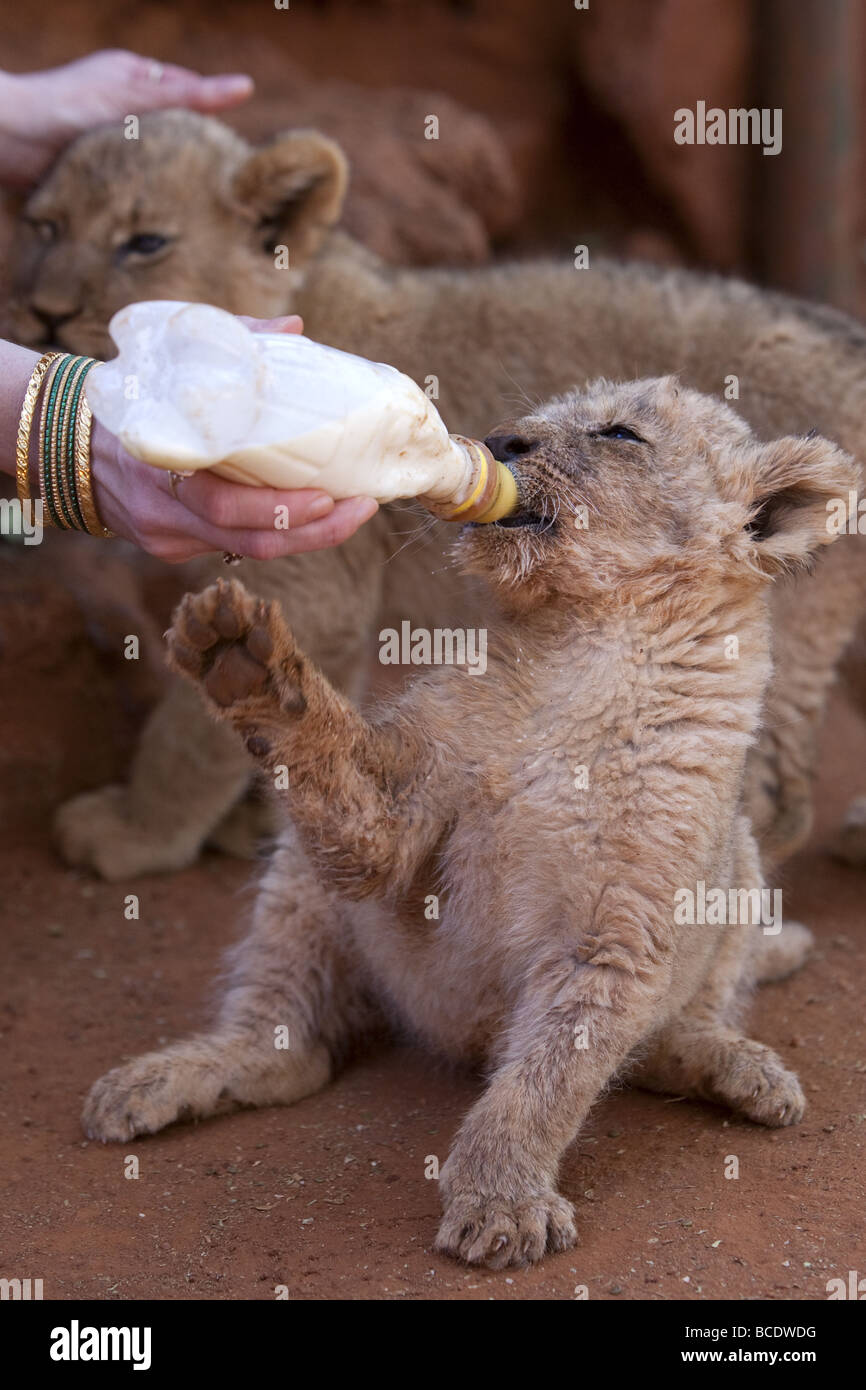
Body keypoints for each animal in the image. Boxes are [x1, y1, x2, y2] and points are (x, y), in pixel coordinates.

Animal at [7, 110, 866, 878]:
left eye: (145, 243)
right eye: (44, 228)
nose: (43, 315)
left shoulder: (313, 573)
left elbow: (185, 733)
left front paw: (133, 833)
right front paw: (263, 813)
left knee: (764, 794)